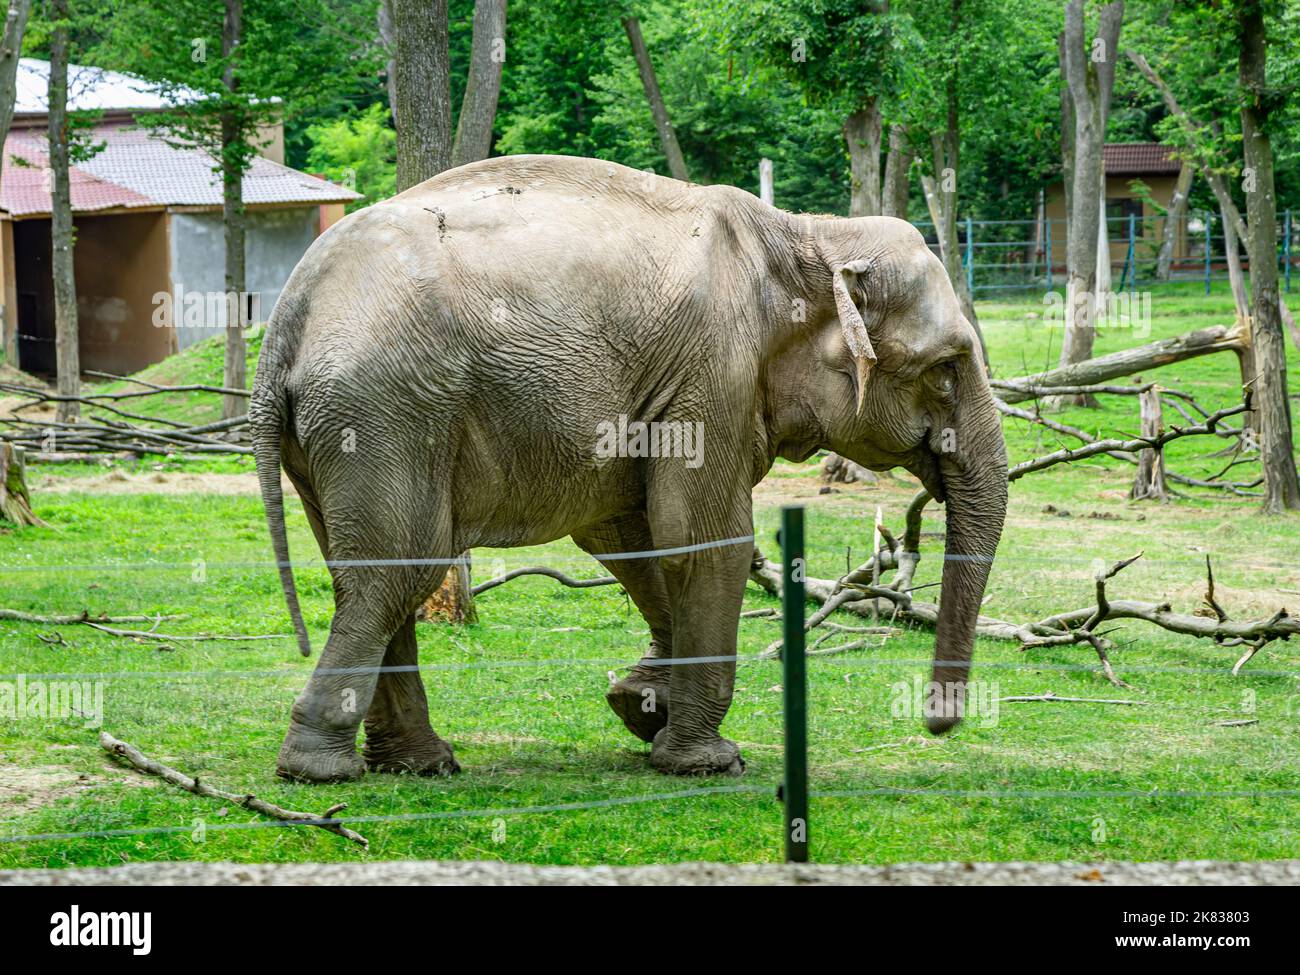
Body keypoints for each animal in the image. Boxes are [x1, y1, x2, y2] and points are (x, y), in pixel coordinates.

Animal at [250, 154, 1007, 783]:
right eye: (946, 369)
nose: (938, 723)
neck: (809, 236)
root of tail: (288, 320)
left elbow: (626, 535)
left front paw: (637, 706)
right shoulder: (714, 373)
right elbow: (702, 537)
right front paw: (708, 762)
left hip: (339, 431)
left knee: (368, 575)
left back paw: (420, 764)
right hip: (388, 412)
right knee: (398, 569)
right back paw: (321, 772)